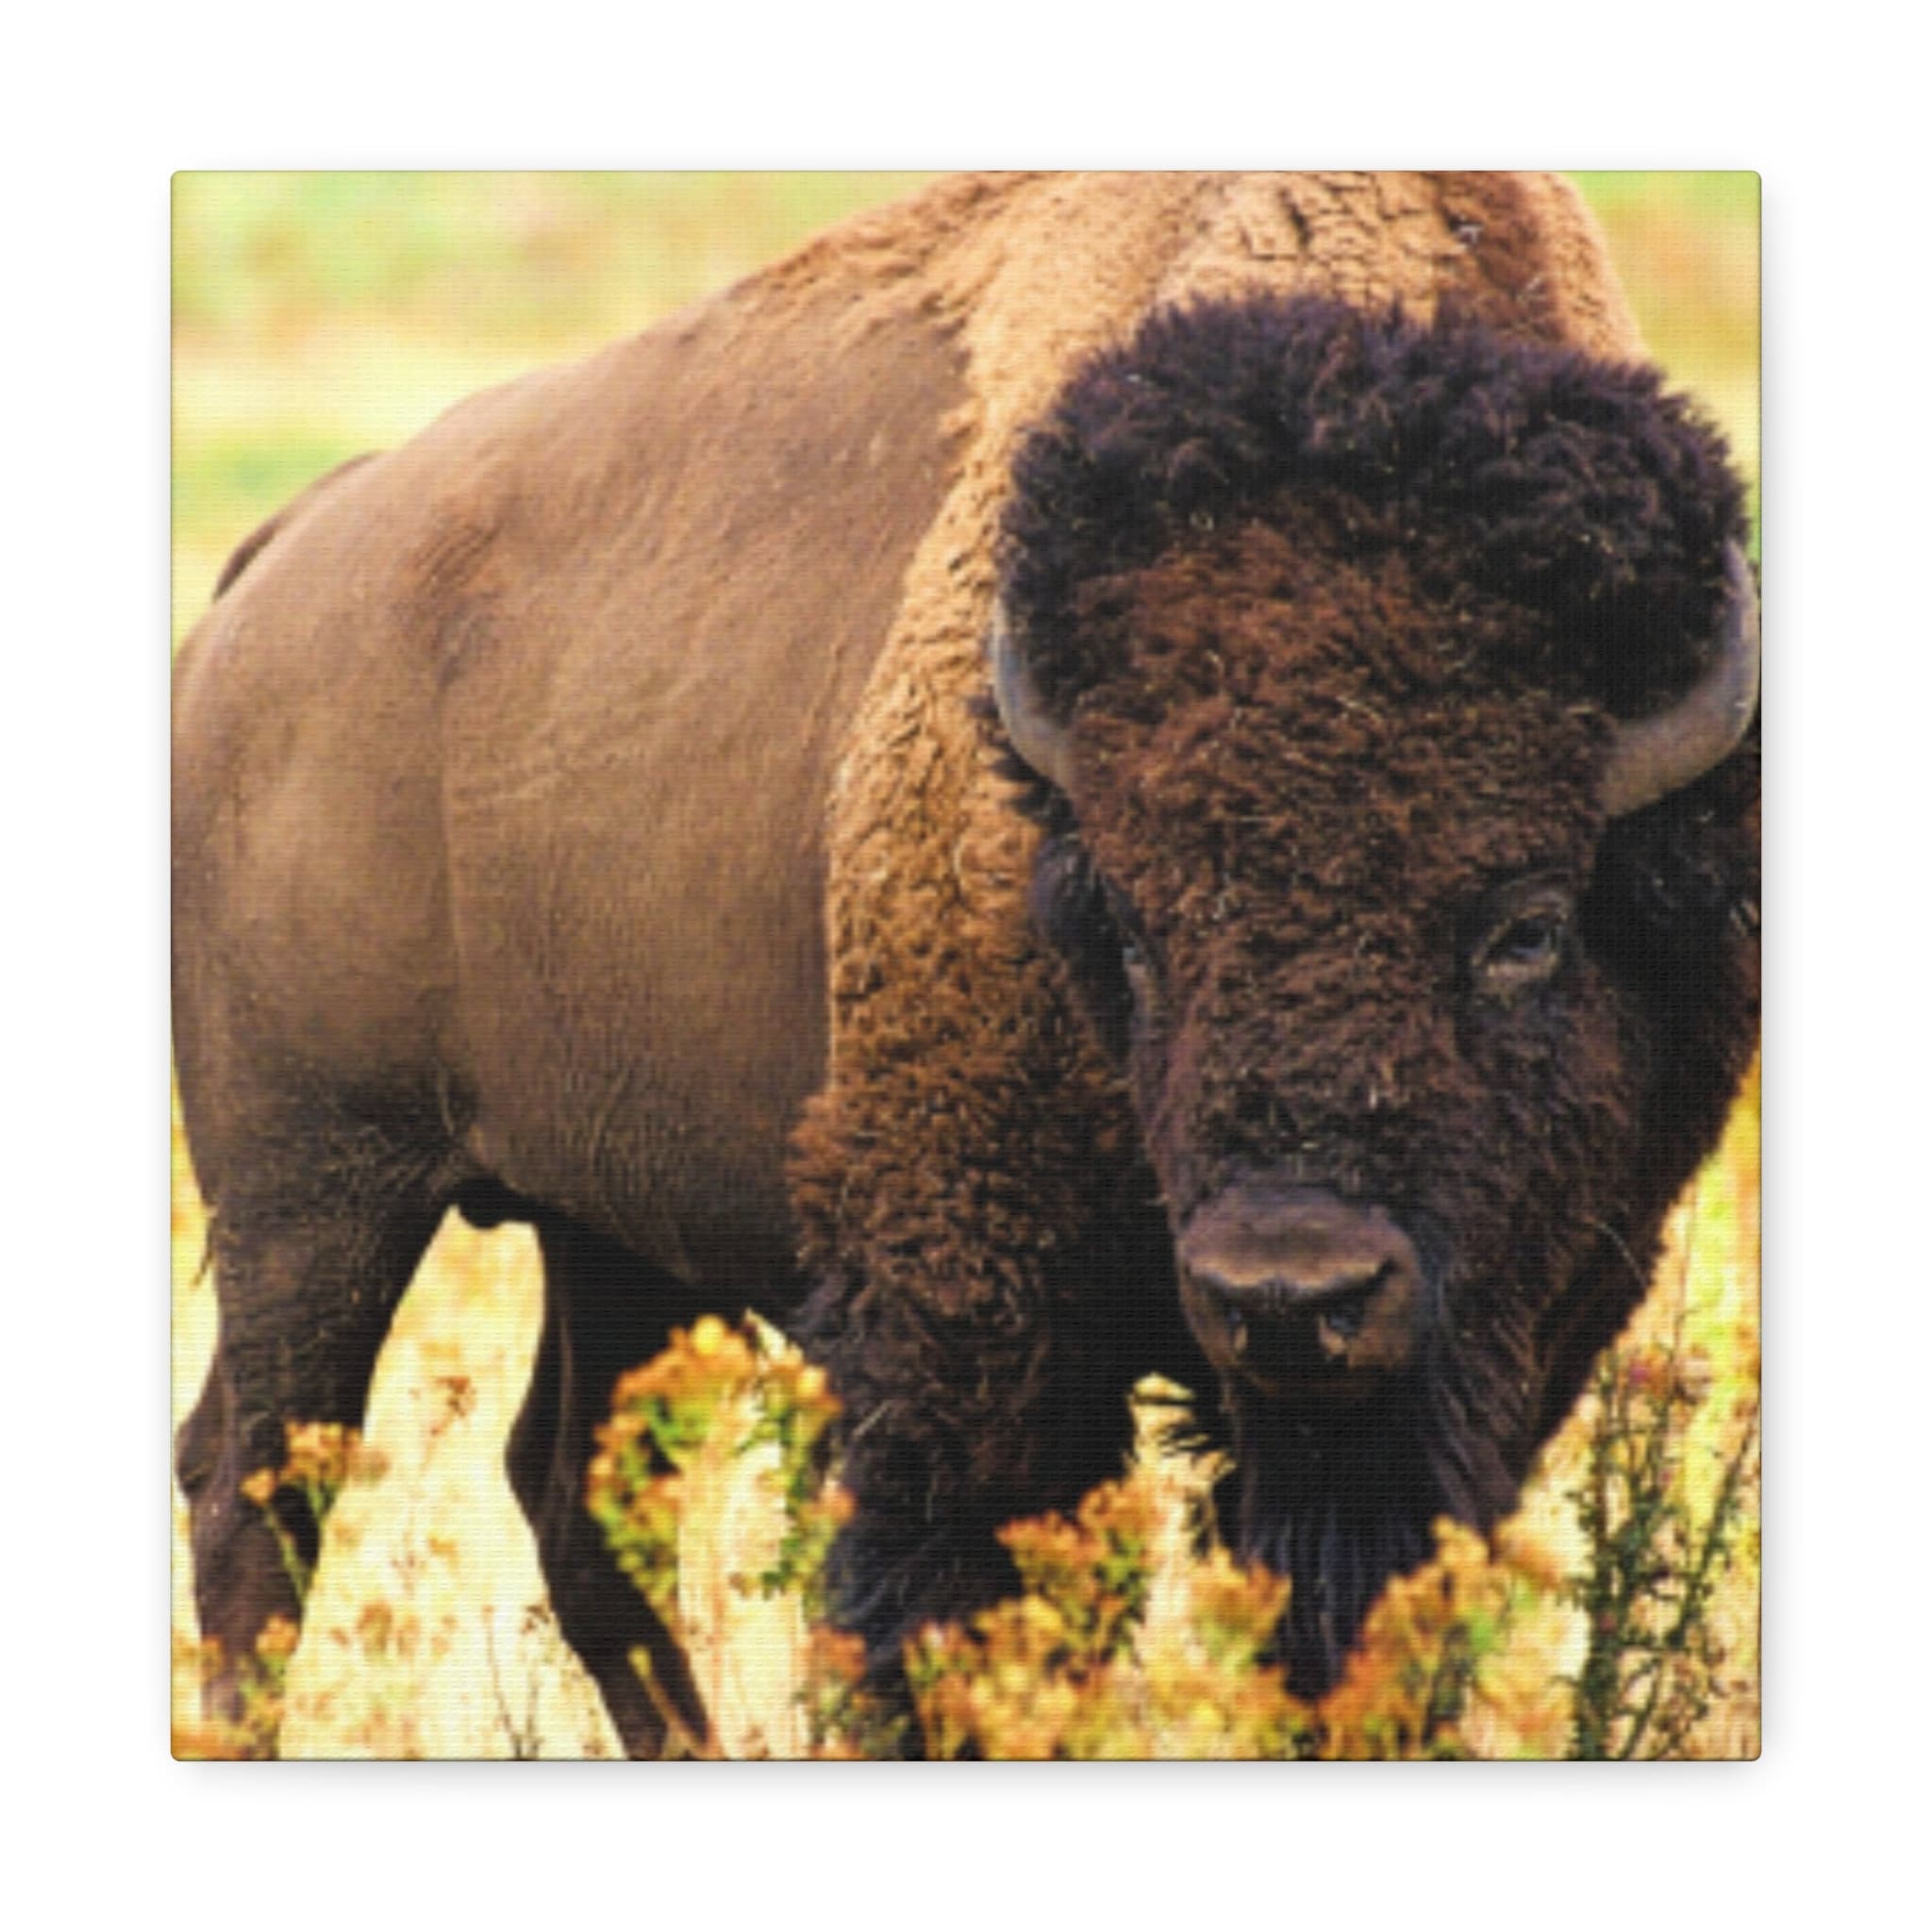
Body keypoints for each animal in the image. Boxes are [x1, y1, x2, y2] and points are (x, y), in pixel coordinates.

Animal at [172, 172, 1758, 1754]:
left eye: (1528, 926)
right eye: (1129, 927)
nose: (1287, 1291)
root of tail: (275, 567)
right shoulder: (973, 1319)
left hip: (606, 1223)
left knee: (571, 1496)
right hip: (314, 1193)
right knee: (258, 1482)